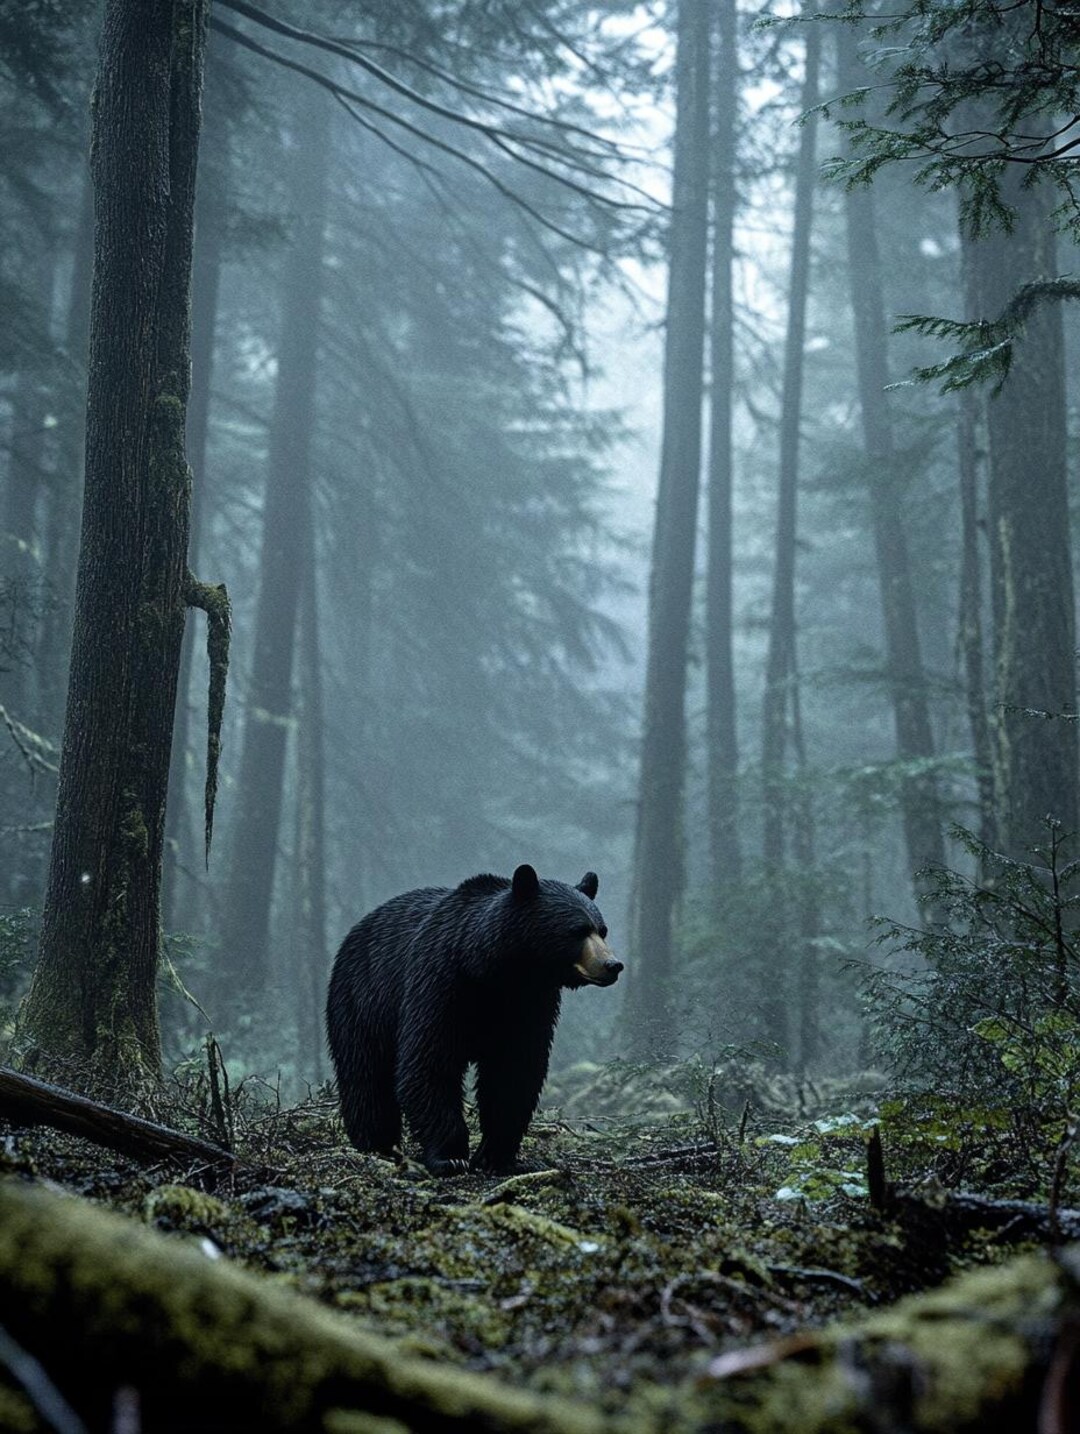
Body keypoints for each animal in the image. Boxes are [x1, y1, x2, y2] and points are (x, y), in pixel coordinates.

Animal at [326, 864, 623, 1175]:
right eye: (577, 931)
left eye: (602, 930)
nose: (612, 965)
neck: (492, 972)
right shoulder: (440, 984)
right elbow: (429, 1063)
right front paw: (451, 1157)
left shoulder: (530, 1005)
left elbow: (514, 1071)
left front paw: (498, 1156)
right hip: (362, 1000)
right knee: (365, 1074)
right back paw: (377, 1144)